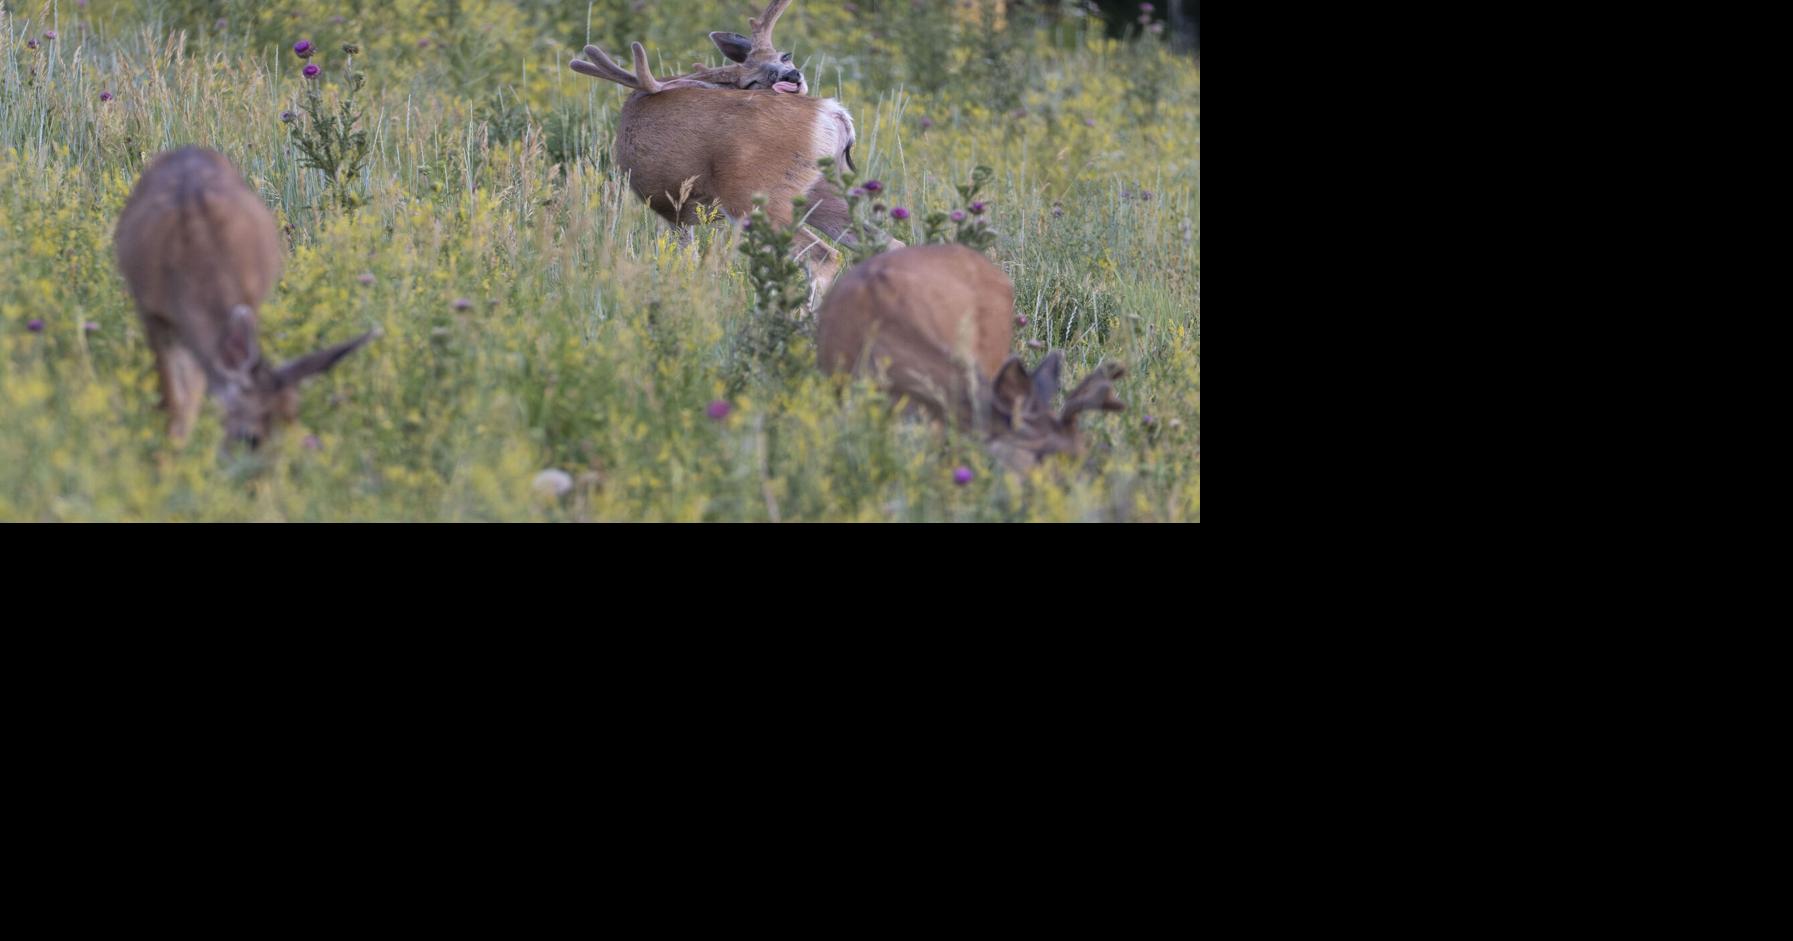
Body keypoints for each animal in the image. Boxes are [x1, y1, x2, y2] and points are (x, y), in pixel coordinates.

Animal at [569, 0, 868, 303]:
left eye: (787, 56)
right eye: (750, 82)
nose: (792, 76)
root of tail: (833, 112)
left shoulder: (674, 208)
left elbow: (685, 260)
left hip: (752, 194)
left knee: (824, 257)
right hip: (821, 192)